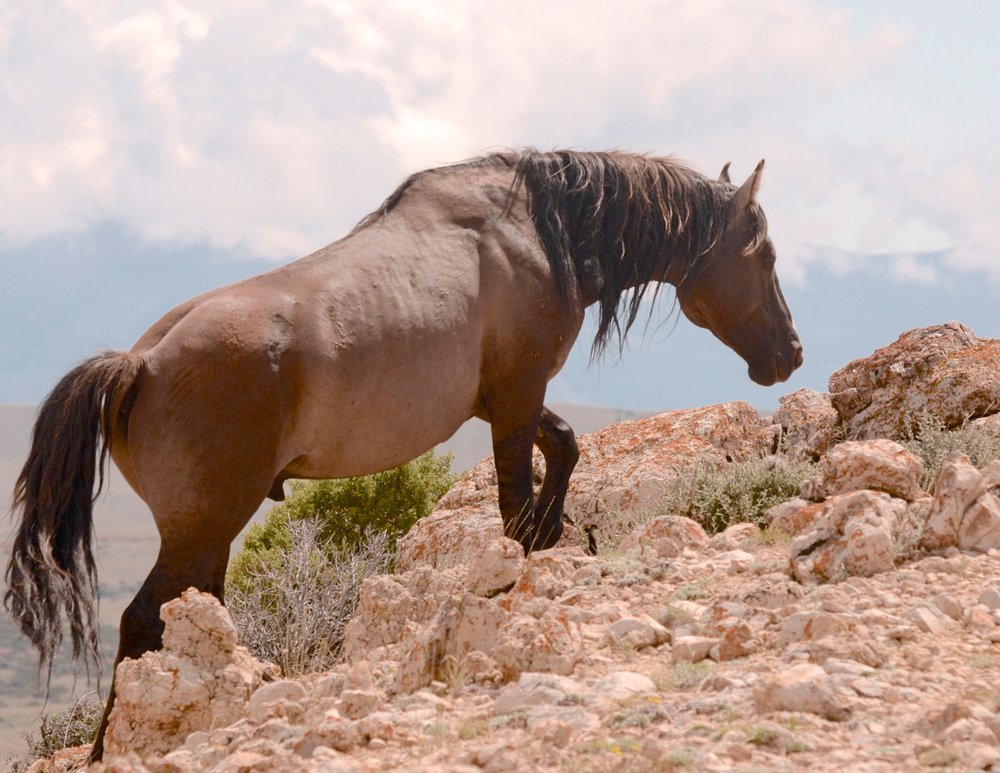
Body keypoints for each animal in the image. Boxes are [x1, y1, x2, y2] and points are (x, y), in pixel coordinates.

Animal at [5, 149, 802, 759]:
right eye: (763, 253)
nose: (790, 355)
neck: (536, 232)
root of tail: (137, 364)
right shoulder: (515, 394)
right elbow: (515, 502)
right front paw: (527, 555)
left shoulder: (503, 398)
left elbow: (565, 449)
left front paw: (556, 531)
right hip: (201, 528)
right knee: (141, 622)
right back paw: (111, 747)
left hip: (205, 538)